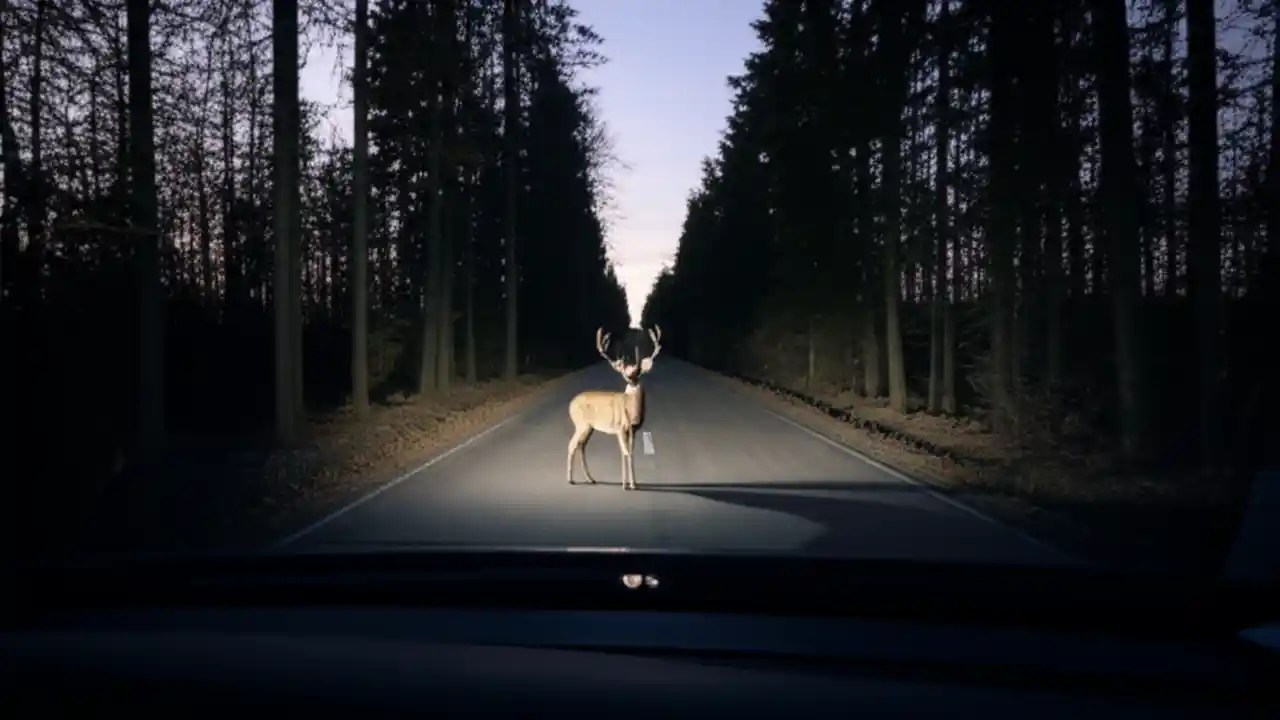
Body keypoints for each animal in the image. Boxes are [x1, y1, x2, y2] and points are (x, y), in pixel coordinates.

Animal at [567, 326, 662, 491]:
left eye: (638, 371)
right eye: (624, 371)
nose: (630, 378)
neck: (631, 411)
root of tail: (570, 404)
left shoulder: (633, 430)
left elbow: (629, 453)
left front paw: (632, 483)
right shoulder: (619, 428)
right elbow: (626, 453)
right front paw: (627, 485)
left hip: (589, 427)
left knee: (581, 446)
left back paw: (590, 479)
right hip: (580, 423)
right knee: (571, 445)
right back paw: (570, 480)